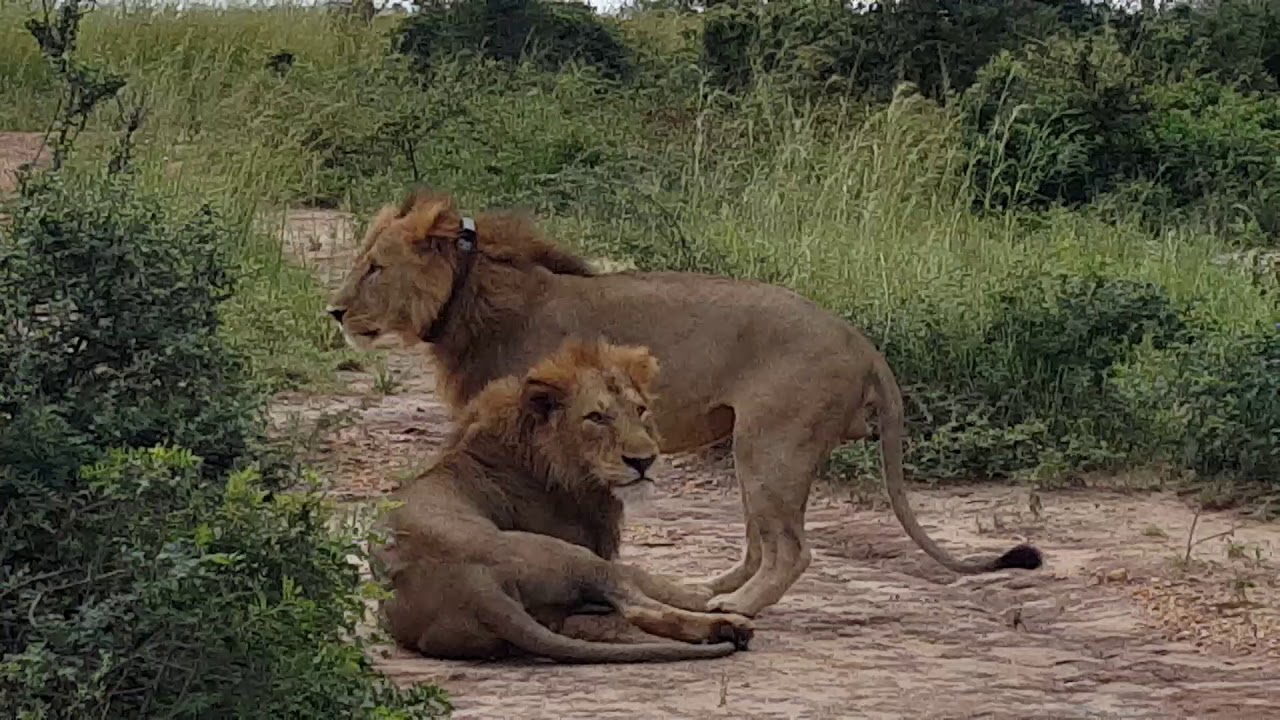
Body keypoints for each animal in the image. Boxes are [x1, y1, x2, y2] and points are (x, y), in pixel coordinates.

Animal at [331, 188, 1044, 618]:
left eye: (374, 267)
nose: (333, 311)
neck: (469, 303)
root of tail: (862, 342)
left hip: (770, 444)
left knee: (791, 550)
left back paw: (737, 609)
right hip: (757, 450)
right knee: (761, 543)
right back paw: (716, 589)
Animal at [373, 337, 754, 663]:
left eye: (640, 410)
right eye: (596, 417)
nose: (644, 461)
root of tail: (475, 587)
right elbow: (638, 573)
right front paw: (701, 594)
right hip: (571, 555)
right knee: (635, 604)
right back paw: (729, 624)